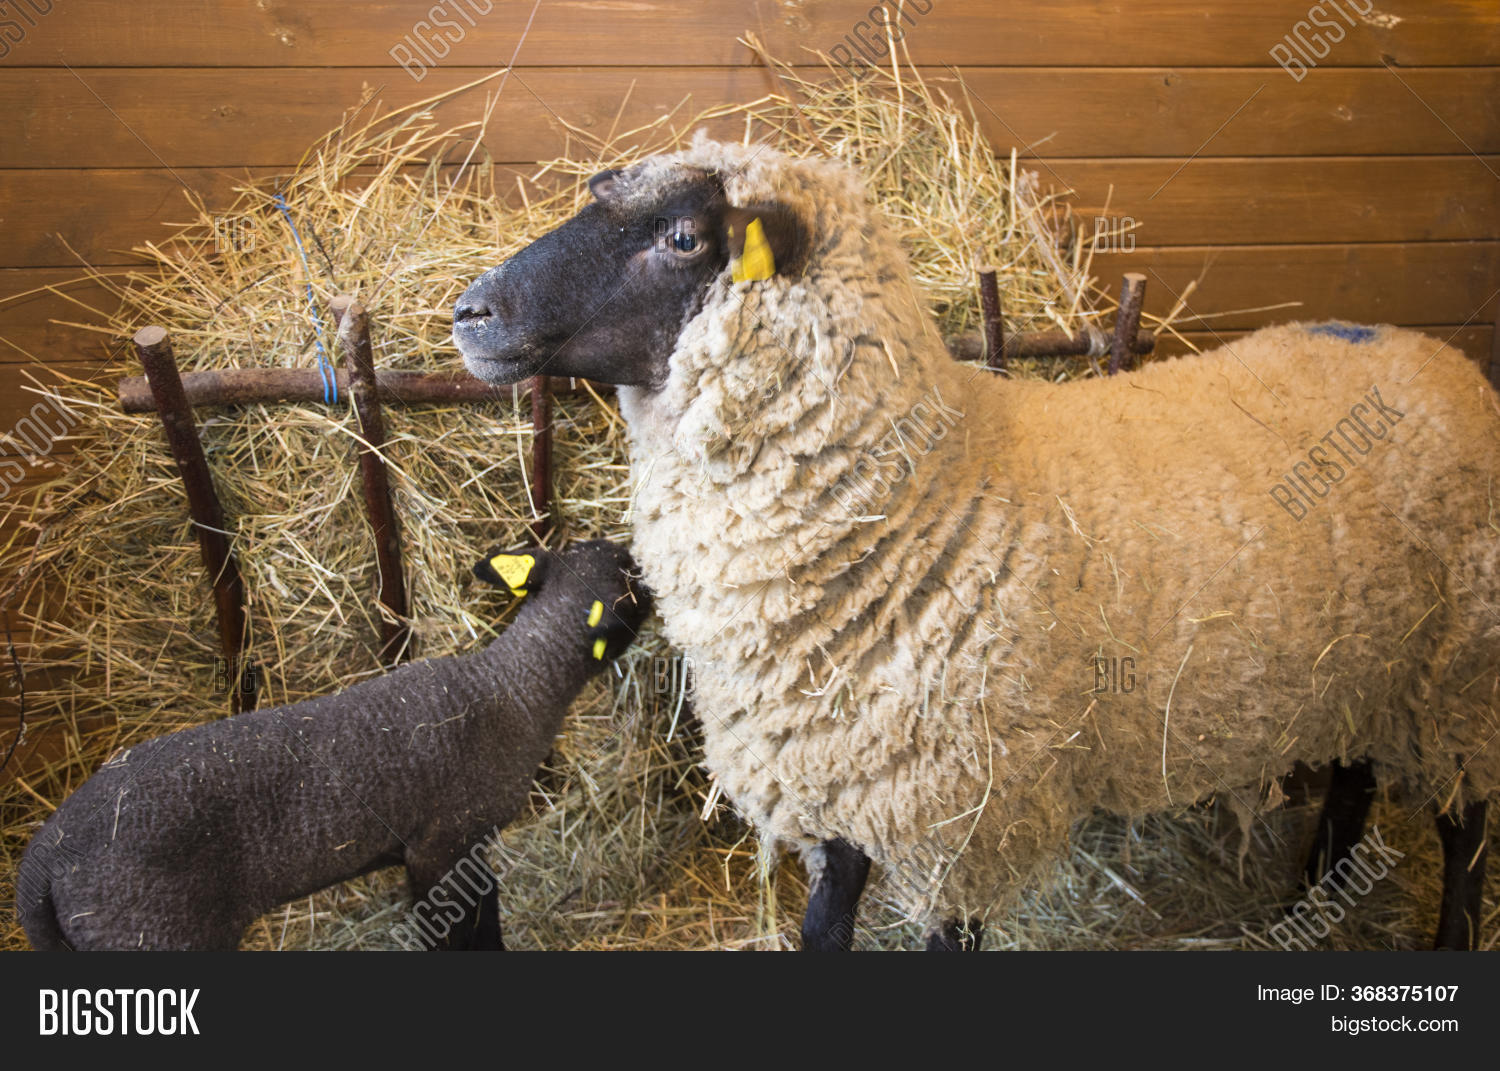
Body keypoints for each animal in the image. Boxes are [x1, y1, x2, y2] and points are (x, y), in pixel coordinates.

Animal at [17, 539, 648, 951]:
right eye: (633, 576)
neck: (513, 687)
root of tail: (45, 859)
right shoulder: (444, 844)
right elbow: (467, 928)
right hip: (153, 934)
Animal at [452, 138, 1497, 951]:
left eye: (682, 237)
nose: (471, 312)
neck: (921, 496)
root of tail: (1435, 357)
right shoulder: (850, 771)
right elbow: (825, 926)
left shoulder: (968, 808)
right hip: (1370, 664)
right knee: (1355, 782)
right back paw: (1307, 905)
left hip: (1460, 679)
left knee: (1464, 826)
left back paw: (1443, 930)